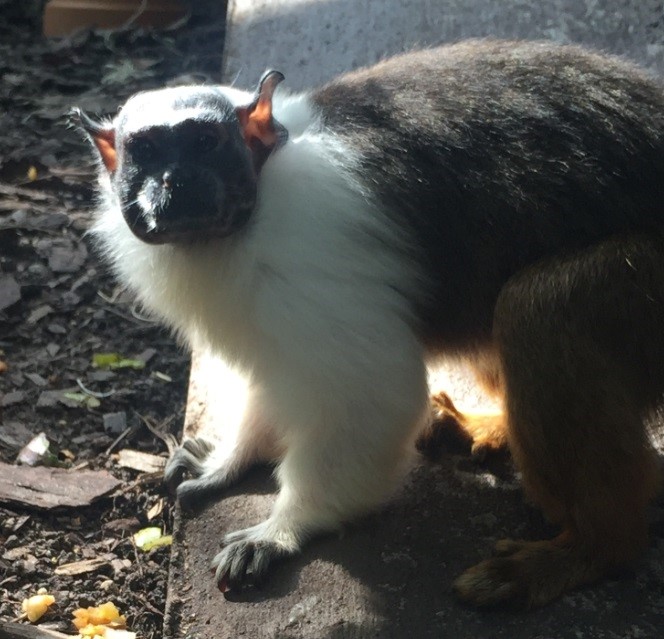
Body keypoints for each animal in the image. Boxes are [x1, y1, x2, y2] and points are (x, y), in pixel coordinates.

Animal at [75, 39, 664, 608]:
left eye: (204, 143)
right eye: (147, 153)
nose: (174, 184)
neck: (256, 208)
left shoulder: (310, 260)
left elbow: (370, 395)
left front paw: (286, 527)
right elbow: (277, 383)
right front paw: (233, 458)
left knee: (537, 308)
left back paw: (594, 549)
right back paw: (496, 428)